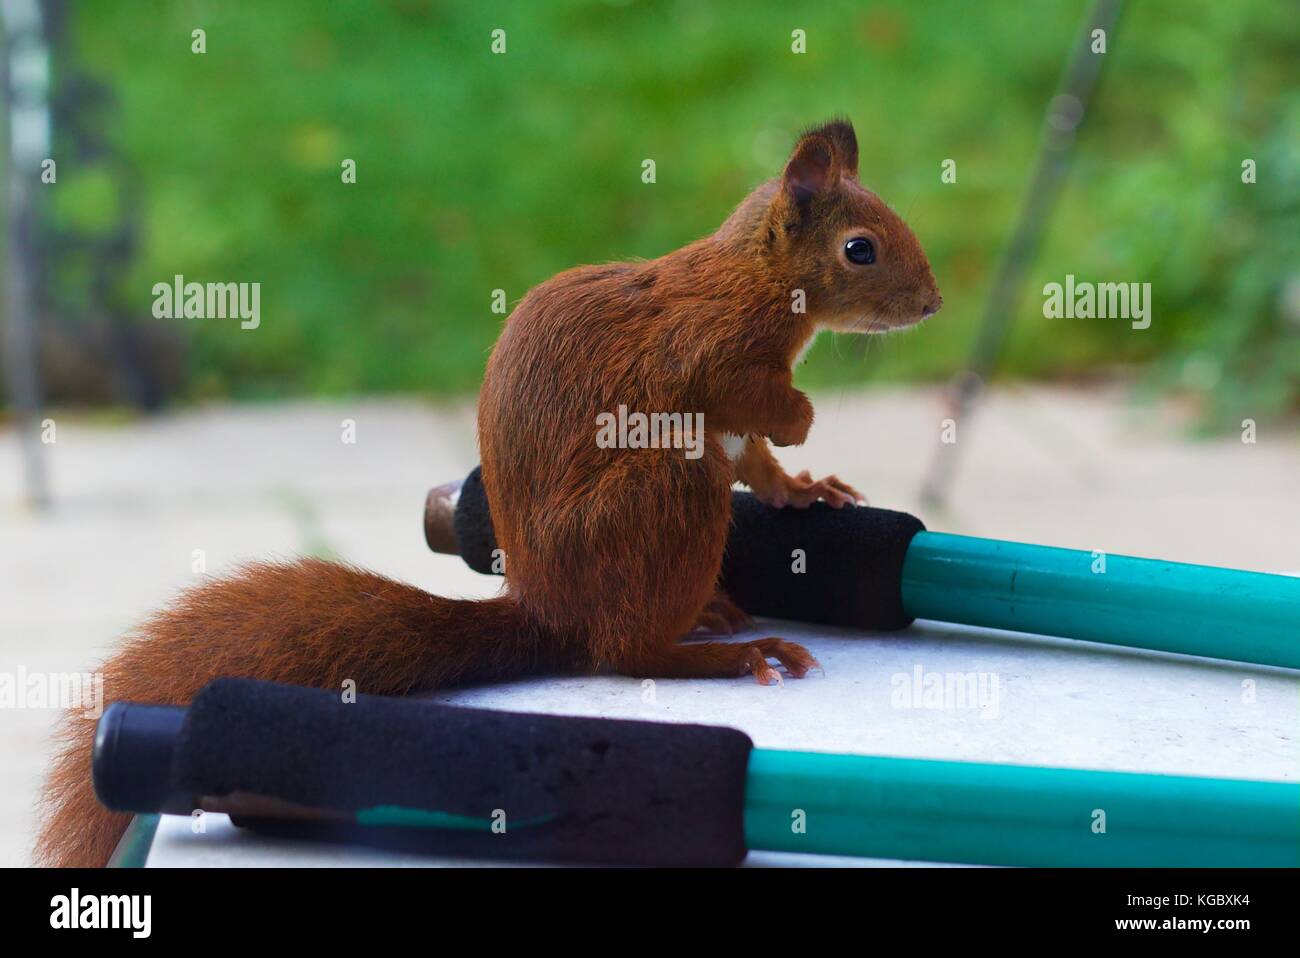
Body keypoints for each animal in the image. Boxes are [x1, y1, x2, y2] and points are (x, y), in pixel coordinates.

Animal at [36, 119, 940, 867]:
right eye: (860, 249)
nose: (932, 304)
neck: (755, 279)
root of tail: (546, 608)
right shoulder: (705, 353)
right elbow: (747, 402)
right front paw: (803, 419)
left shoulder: (732, 414)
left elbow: (757, 461)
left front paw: (805, 490)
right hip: (666, 489)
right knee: (624, 650)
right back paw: (717, 654)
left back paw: (712, 615)